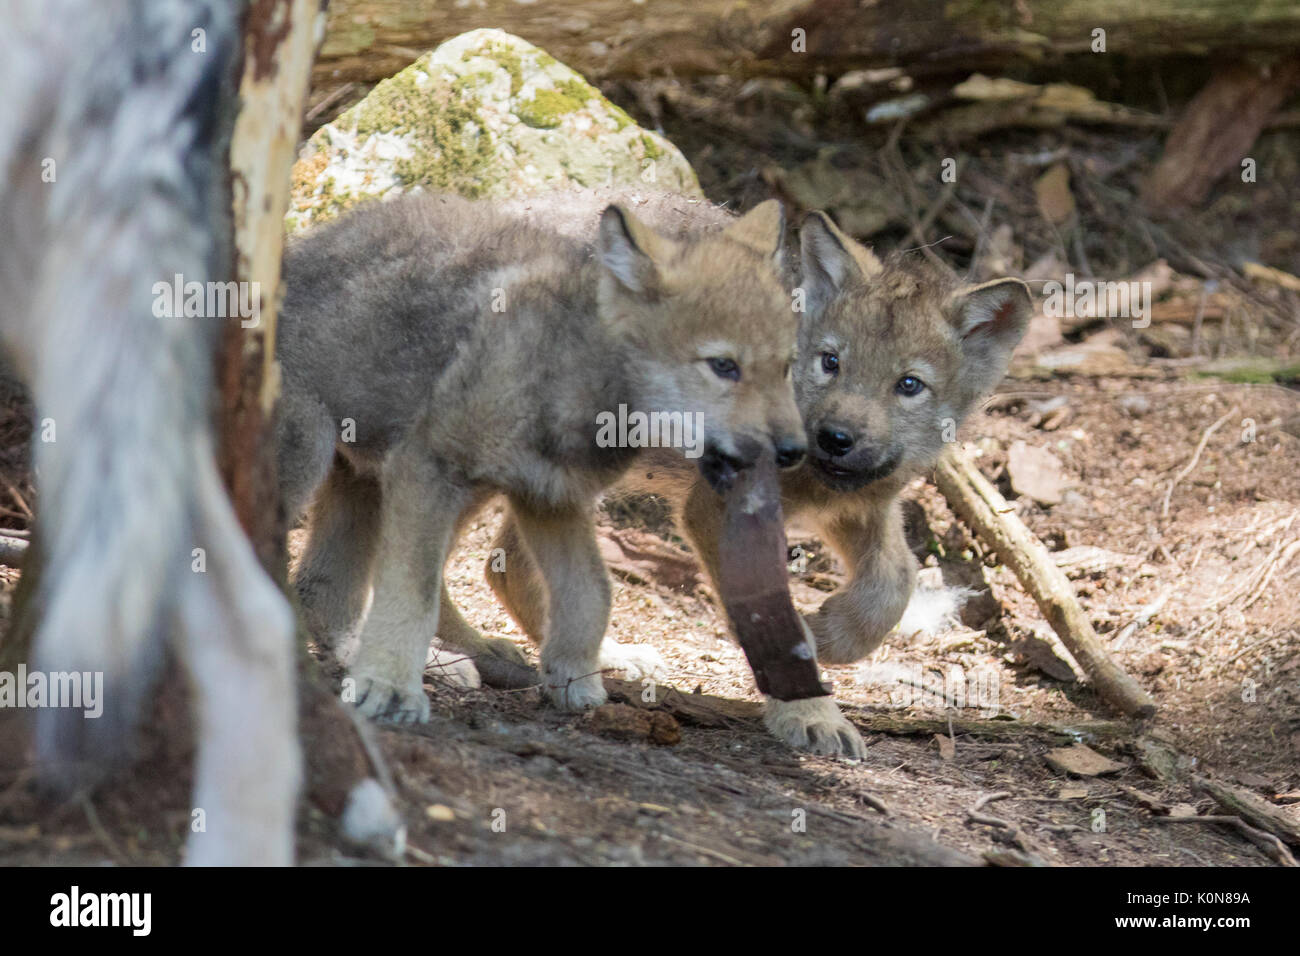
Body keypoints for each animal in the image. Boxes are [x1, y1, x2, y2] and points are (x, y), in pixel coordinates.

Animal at [275, 192, 806, 722]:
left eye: (785, 367)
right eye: (723, 366)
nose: (795, 450)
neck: (571, 368)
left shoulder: (551, 497)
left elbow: (591, 595)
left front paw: (573, 681)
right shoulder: (429, 468)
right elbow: (414, 592)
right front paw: (389, 689)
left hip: (364, 479)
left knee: (320, 591)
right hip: (313, 454)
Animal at [479, 208, 1033, 756]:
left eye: (909, 385)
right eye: (831, 362)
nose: (835, 438)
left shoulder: (859, 506)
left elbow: (895, 580)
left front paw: (830, 635)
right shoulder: (715, 511)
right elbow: (774, 616)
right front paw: (810, 712)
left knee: (506, 568)